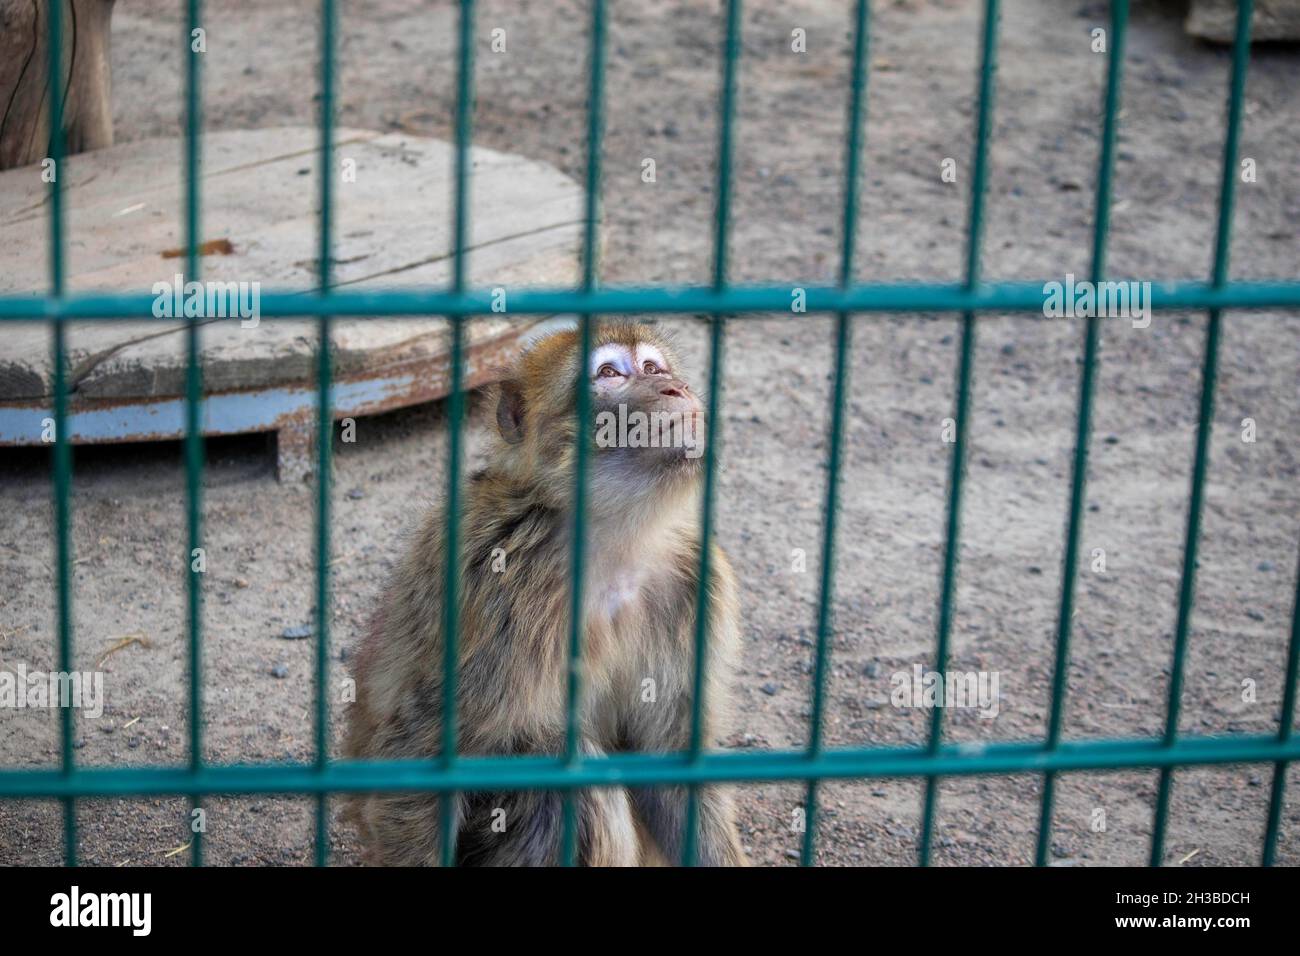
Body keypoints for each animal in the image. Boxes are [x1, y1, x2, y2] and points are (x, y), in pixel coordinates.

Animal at [344, 321, 747, 866]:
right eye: (609, 374)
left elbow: (671, 758)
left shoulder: (695, 584)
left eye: (652, 367)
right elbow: (418, 749)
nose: (676, 388)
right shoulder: (501, 585)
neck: (613, 537)